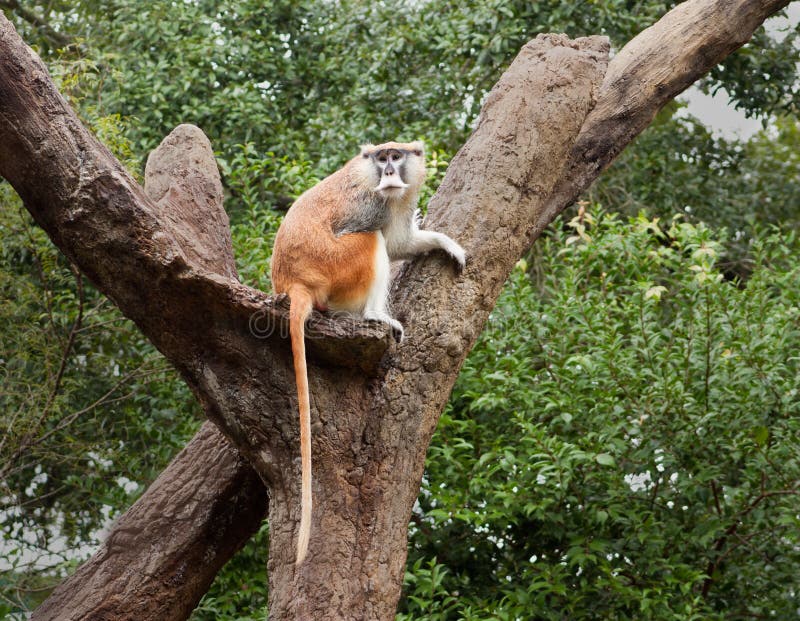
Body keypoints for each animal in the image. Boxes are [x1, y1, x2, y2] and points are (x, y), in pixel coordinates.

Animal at [270, 141, 465, 564]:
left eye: (396, 156)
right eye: (381, 157)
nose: (389, 171)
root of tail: (294, 283)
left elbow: (400, 243)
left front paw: (443, 242)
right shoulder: (372, 204)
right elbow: (379, 237)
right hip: (334, 267)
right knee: (370, 240)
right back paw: (376, 315)